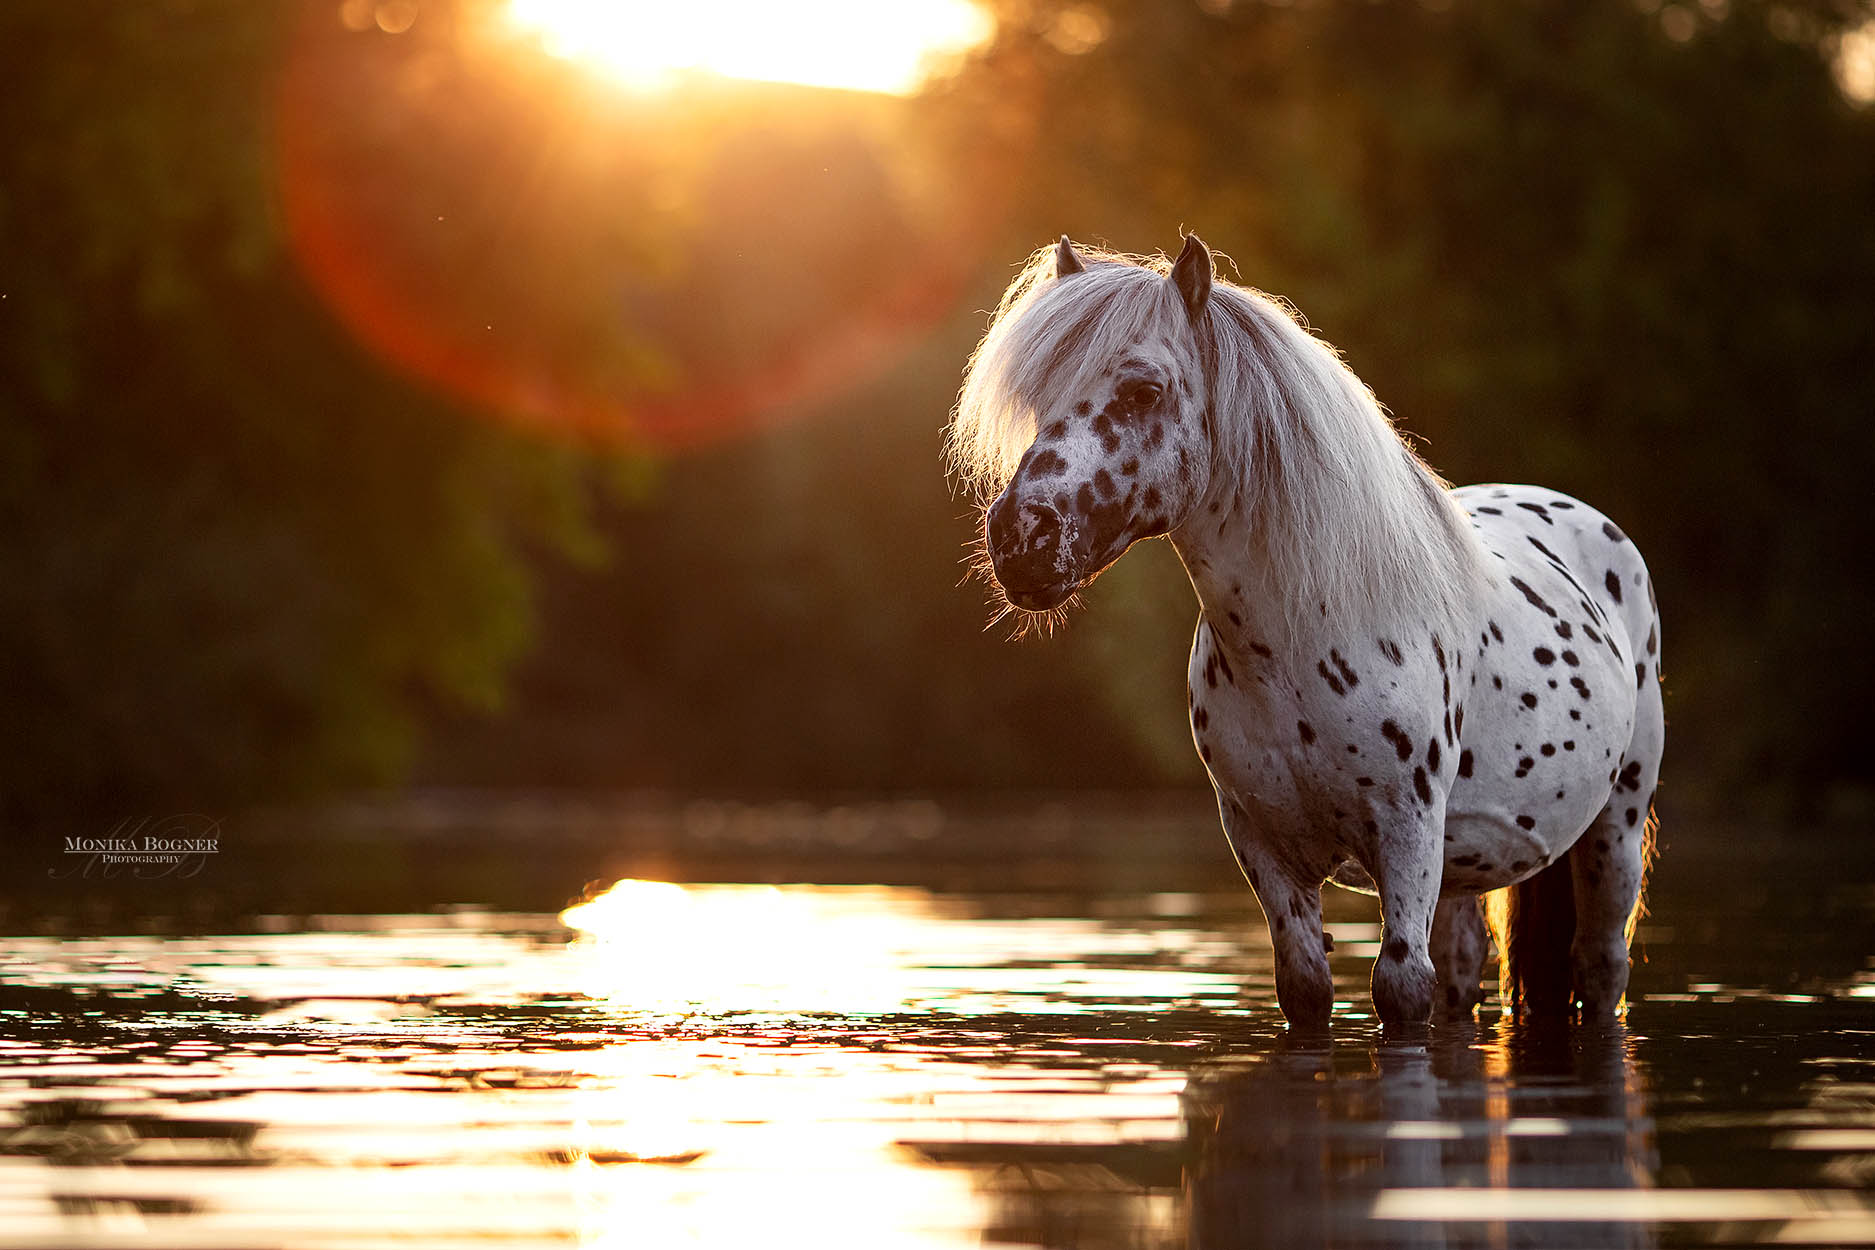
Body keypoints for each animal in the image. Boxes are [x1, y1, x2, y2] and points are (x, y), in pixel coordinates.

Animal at [948, 234, 1663, 1029]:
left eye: (1144, 391)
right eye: (1038, 401)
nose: (1019, 537)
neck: (1298, 647)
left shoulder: (1407, 835)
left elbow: (1399, 989)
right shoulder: (1262, 844)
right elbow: (1306, 989)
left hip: (1612, 832)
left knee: (1599, 968)